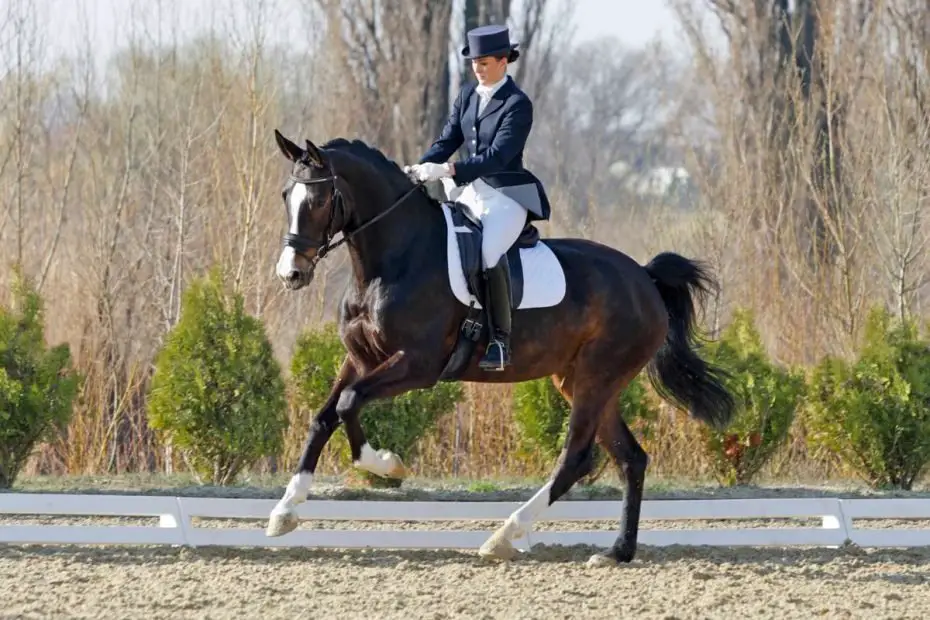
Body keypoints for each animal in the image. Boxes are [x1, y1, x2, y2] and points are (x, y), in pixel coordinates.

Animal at [266, 129, 737, 565]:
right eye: (287, 196)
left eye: (319, 201)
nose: (291, 274)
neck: (393, 260)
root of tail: (644, 277)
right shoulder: (360, 359)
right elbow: (325, 417)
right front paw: (285, 510)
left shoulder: (417, 366)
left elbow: (348, 403)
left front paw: (385, 463)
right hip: (580, 381)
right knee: (631, 459)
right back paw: (616, 552)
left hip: (597, 379)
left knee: (576, 457)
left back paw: (506, 536)